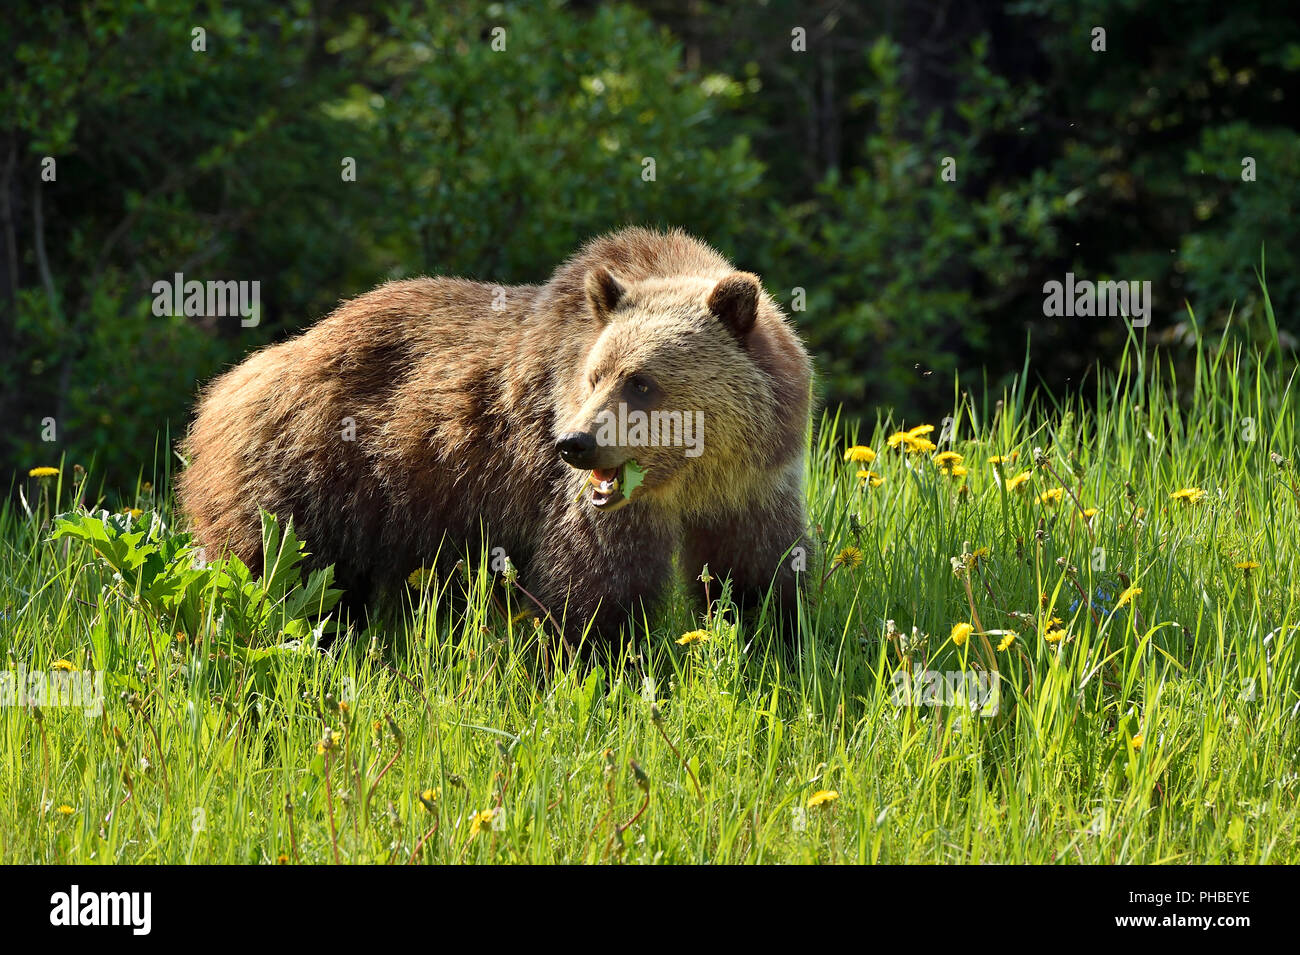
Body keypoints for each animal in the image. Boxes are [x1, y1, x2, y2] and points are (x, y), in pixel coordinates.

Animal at [177, 227, 813, 644]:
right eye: (595, 376)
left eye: (642, 382)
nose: (575, 443)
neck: (689, 479)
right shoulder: (592, 506)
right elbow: (594, 591)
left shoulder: (752, 489)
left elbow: (762, 574)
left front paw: (775, 638)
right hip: (309, 476)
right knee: (283, 576)